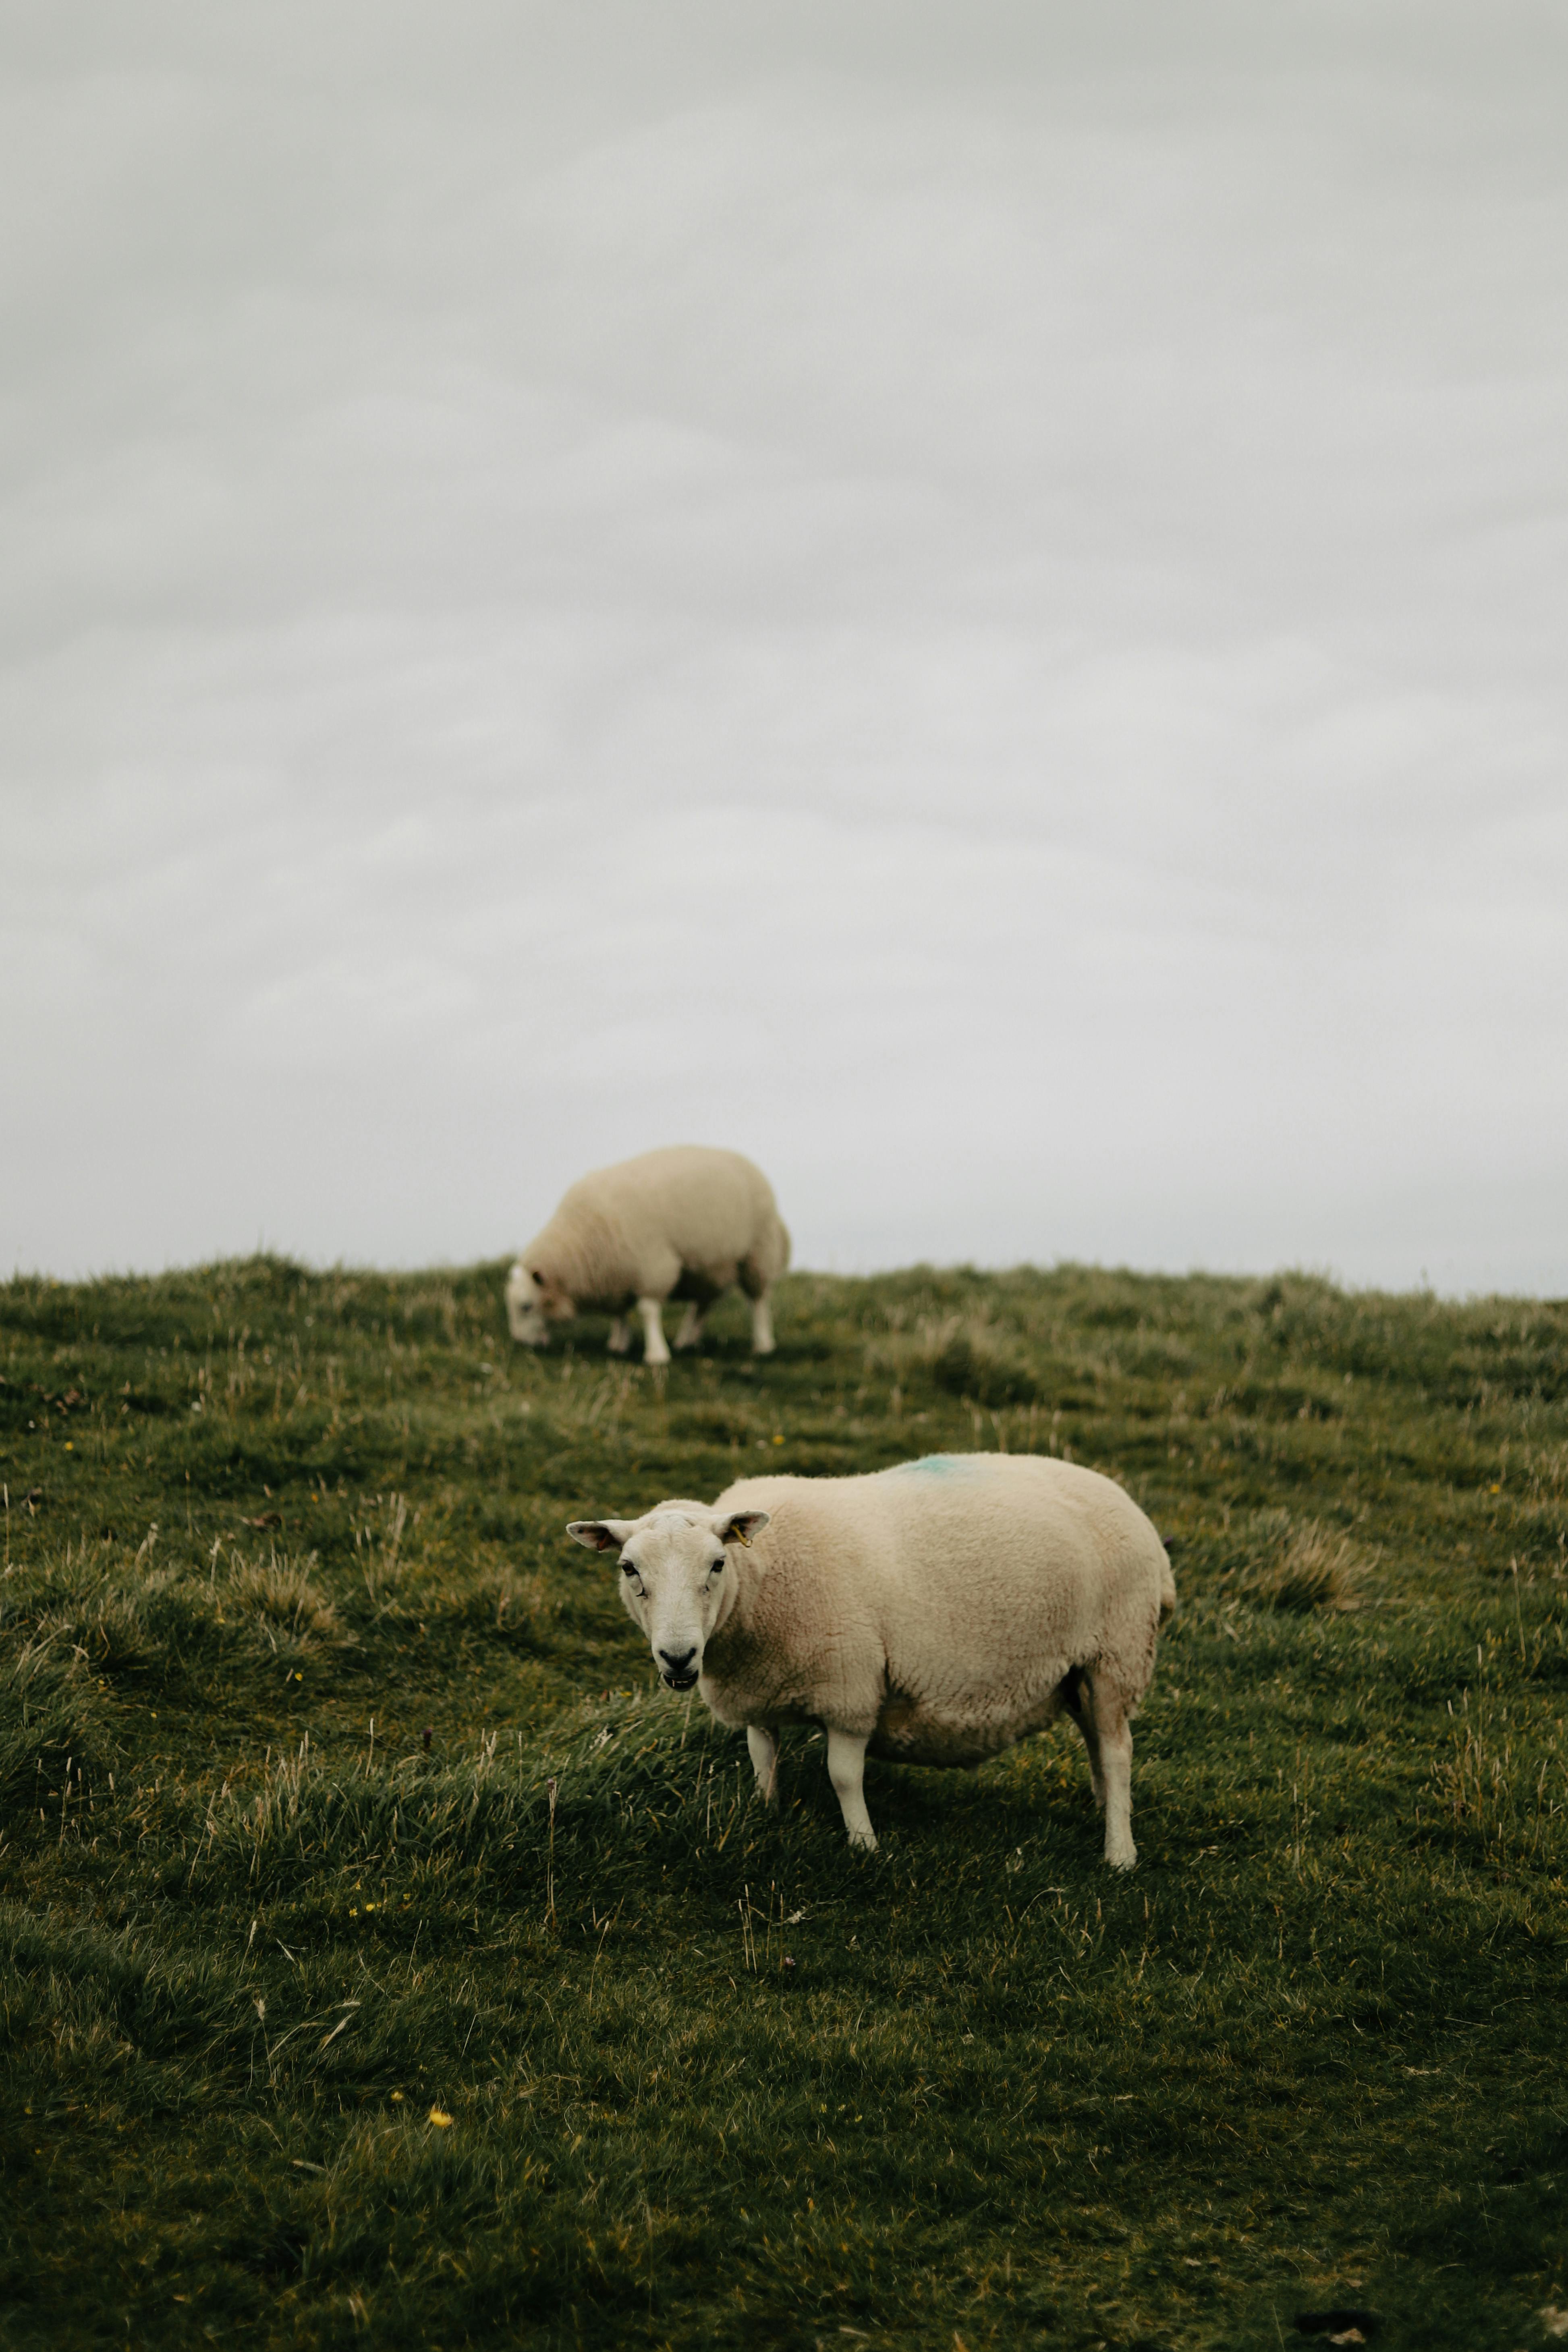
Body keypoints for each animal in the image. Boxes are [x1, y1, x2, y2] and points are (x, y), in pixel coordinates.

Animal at [506, 1145, 790, 1366]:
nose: (519, 1342)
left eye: (527, 1306)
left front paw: (656, 1354)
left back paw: (763, 1343)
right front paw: (618, 1343)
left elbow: (648, 1311)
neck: (582, 1238)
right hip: (708, 1264)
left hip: (757, 1253)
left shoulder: (651, 1265)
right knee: (702, 1304)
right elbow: (619, 1313)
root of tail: (744, 1160)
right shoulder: (616, 1275)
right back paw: (687, 1339)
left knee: (758, 1301)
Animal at [566, 1451, 1176, 1868]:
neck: (763, 1578)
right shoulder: (758, 1692)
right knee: (1098, 1743)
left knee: (1118, 1754)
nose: (677, 1657)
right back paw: (1104, 1809)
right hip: (1079, 1671)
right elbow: (763, 1758)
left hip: (1117, 1651)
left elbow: (842, 1776)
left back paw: (1119, 1852)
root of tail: (1135, 1511)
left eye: (717, 1563)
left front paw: (864, 1844)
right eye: (629, 1569)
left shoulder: (851, 1691)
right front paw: (767, 1814)